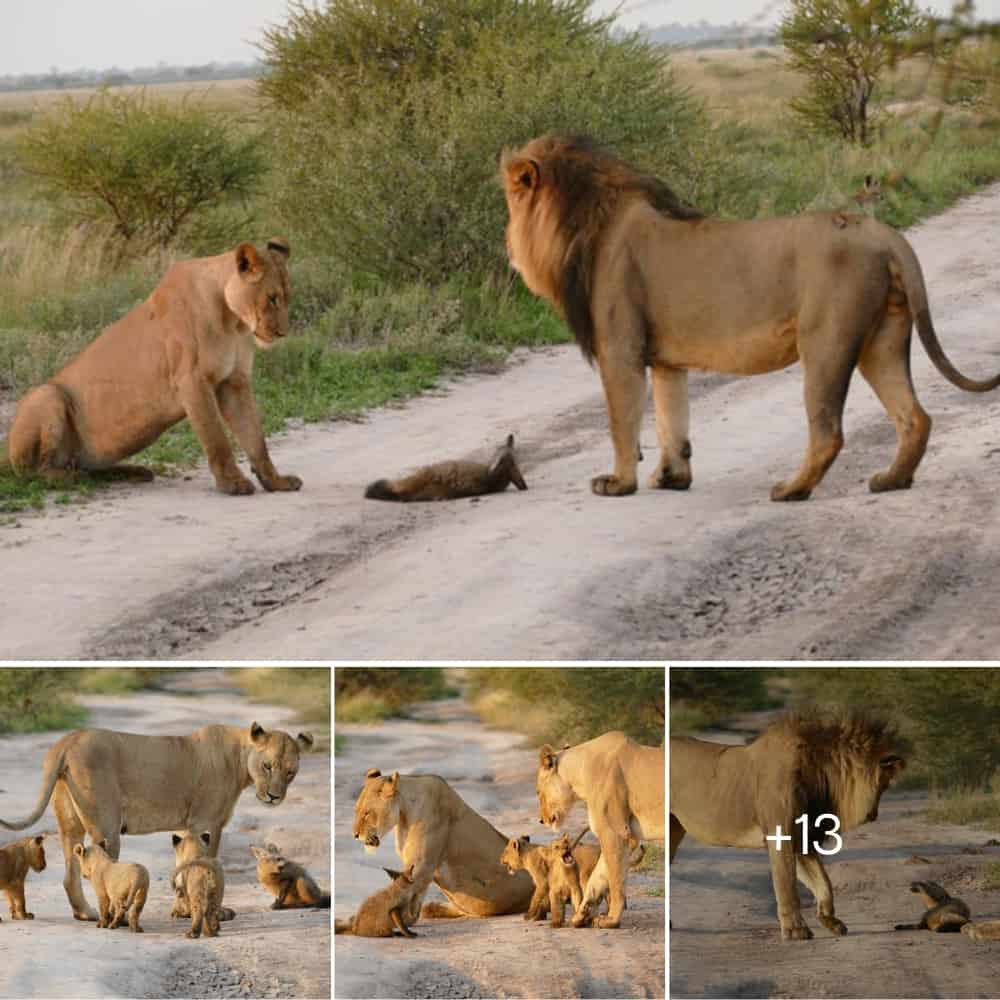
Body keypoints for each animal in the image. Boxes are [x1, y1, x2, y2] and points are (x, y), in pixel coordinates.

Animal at [0, 721, 312, 922]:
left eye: (291, 772)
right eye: (267, 766)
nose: (274, 797)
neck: (238, 757)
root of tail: (67, 741)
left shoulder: (188, 825)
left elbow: (184, 864)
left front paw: (182, 909)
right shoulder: (207, 823)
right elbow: (206, 864)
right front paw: (208, 911)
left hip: (70, 823)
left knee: (69, 873)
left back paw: (85, 914)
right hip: (106, 823)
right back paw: (115, 919)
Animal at [5, 239, 302, 496]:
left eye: (286, 298)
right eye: (272, 298)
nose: (283, 333)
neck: (233, 322)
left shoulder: (235, 382)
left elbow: (255, 439)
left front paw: (276, 482)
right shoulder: (192, 380)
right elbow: (217, 438)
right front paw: (232, 484)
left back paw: (131, 472)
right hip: (46, 395)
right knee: (35, 471)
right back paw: (69, 476)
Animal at [501, 134, 1000, 501]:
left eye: (510, 200)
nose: (506, 244)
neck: (585, 221)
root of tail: (880, 232)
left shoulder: (619, 348)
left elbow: (622, 420)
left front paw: (619, 483)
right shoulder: (665, 359)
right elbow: (671, 417)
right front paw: (672, 478)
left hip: (826, 342)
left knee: (828, 431)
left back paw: (792, 489)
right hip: (883, 338)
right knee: (915, 416)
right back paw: (891, 479)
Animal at [535, 730, 664, 929]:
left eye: (537, 792)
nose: (541, 820)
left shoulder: (615, 833)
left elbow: (615, 881)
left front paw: (611, 920)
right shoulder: (627, 837)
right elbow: (597, 877)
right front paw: (581, 915)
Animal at [670, 712, 907, 940]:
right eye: (884, 785)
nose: (874, 815)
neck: (822, 775)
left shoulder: (803, 837)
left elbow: (823, 882)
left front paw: (830, 921)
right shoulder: (781, 834)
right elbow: (787, 884)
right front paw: (795, 931)